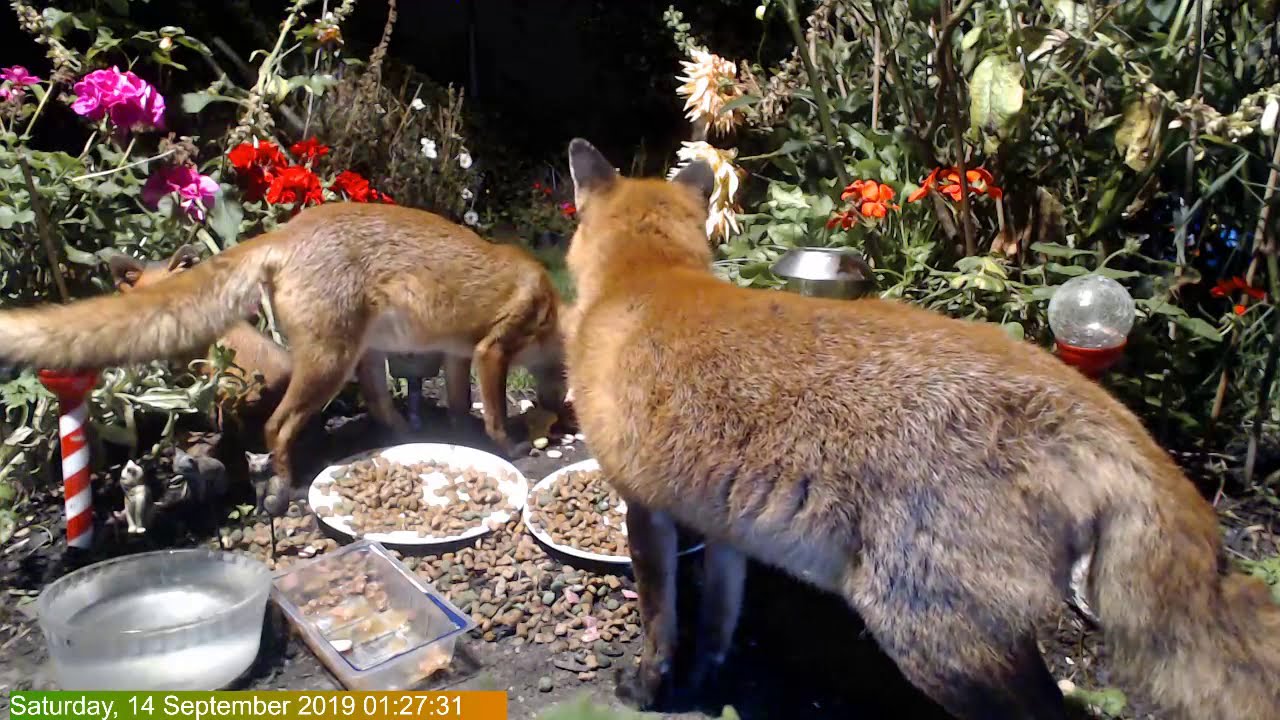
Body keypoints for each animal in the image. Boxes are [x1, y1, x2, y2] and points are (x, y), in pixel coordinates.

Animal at [0, 202, 569, 516]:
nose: (557, 408)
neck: (550, 301)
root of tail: (285, 231)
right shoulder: (494, 349)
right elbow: (493, 410)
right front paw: (511, 445)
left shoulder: (456, 355)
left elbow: (458, 404)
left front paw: (460, 435)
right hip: (329, 364)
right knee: (278, 426)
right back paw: (287, 487)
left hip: (363, 356)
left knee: (378, 407)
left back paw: (404, 437)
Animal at [559, 138, 1280, 720]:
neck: (647, 279)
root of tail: (1092, 403)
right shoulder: (724, 526)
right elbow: (716, 624)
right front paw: (706, 679)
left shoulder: (643, 505)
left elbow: (660, 624)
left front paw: (649, 690)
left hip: (931, 638)